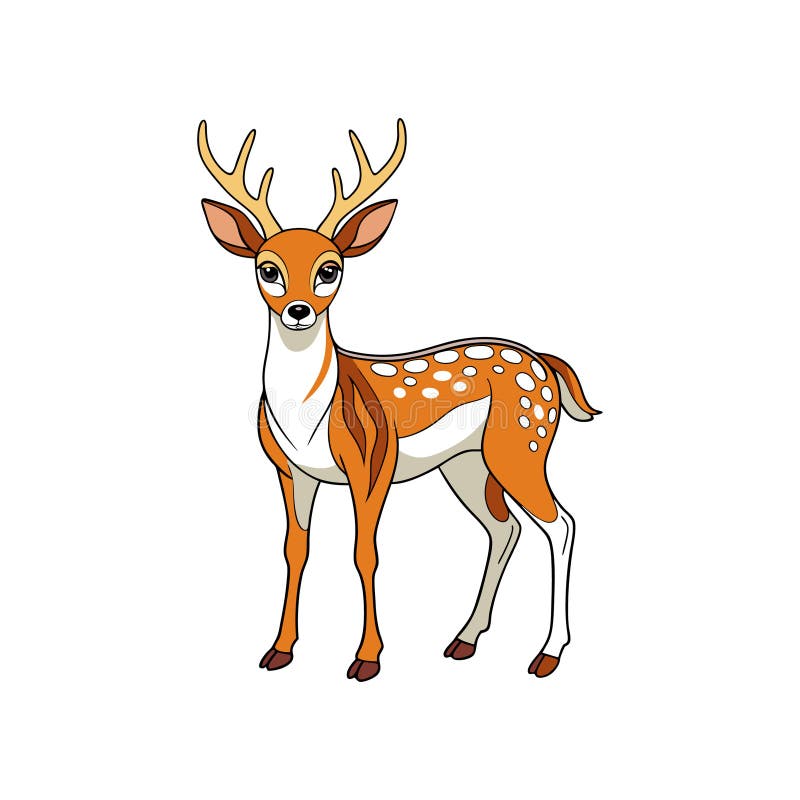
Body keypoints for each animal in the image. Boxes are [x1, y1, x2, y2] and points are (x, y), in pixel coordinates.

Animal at [197, 118, 599, 682]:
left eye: (330, 269)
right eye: (267, 268)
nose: (298, 311)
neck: (306, 420)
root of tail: (545, 364)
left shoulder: (372, 462)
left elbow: (365, 552)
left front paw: (366, 658)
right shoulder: (288, 470)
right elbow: (295, 550)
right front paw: (279, 650)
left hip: (523, 444)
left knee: (561, 524)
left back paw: (547, 654)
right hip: (467, 464)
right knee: (505, 528)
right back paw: (464, 639)